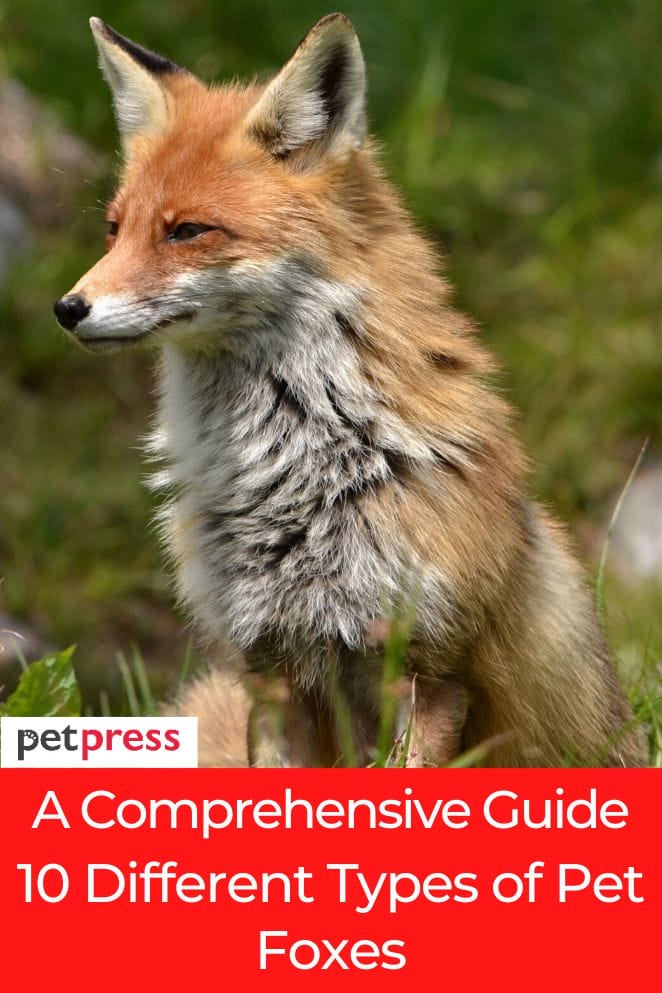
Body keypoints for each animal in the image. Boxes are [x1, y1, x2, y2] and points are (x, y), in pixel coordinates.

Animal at [53, 14, 646, 767]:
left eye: (187, 230)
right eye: (114, 229)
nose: (67, 308)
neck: (298, 476)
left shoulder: (429, 670)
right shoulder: (269, 671)